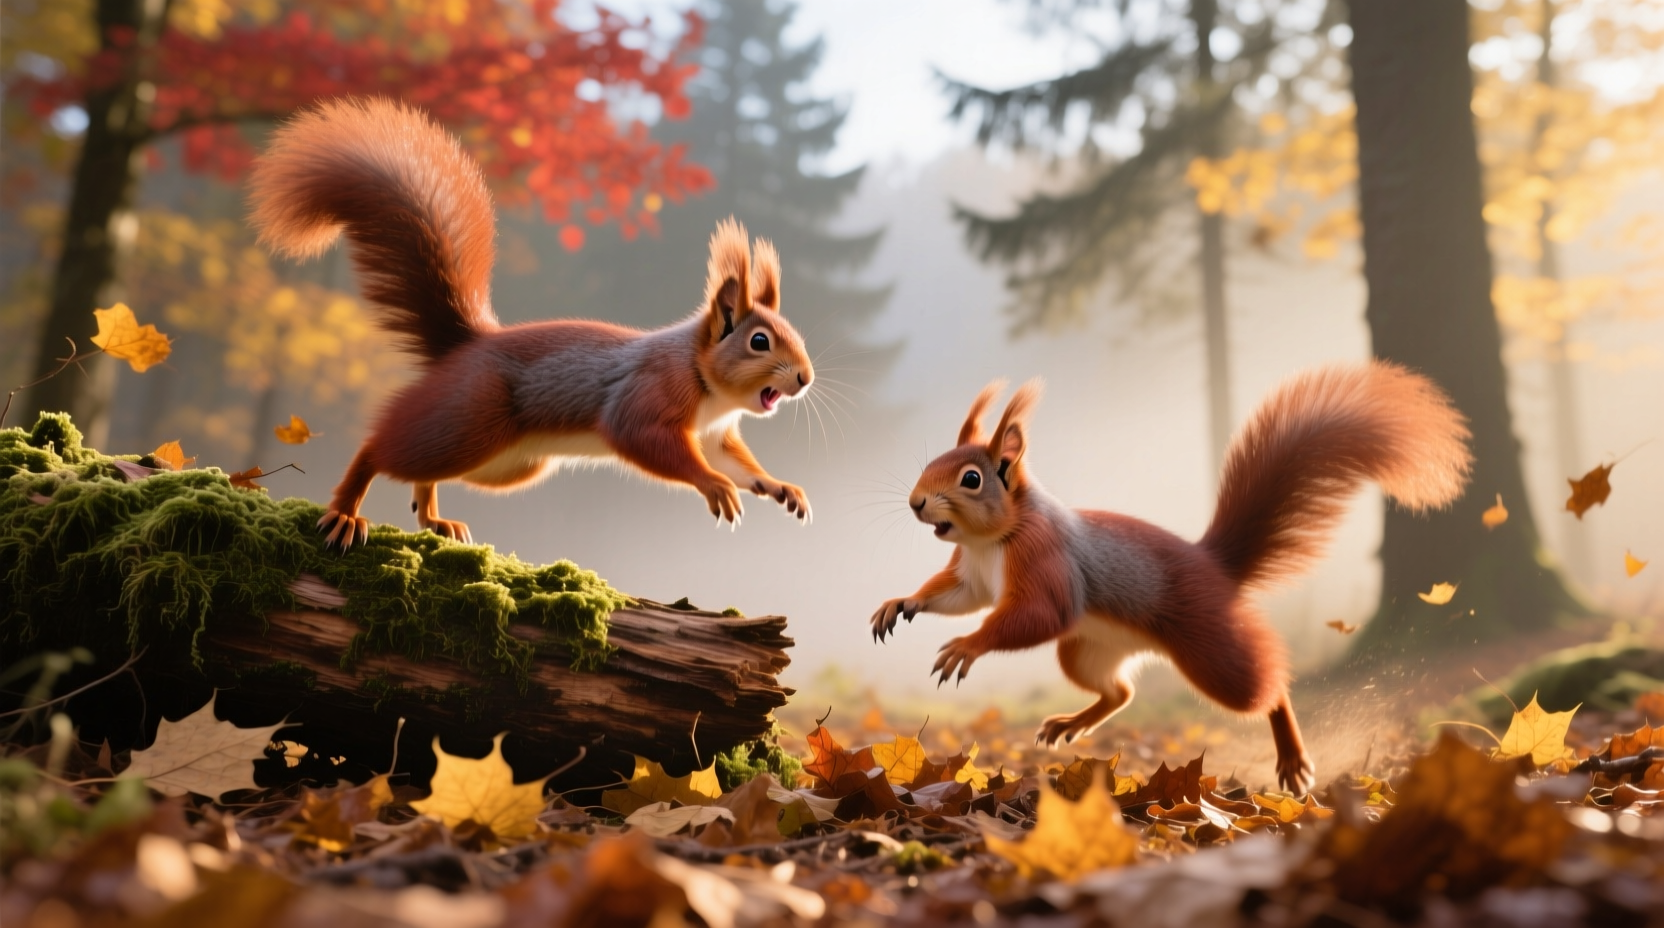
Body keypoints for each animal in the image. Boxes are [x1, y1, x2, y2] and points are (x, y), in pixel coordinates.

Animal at [247, 98, 814, 550]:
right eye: (759, 341)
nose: (805, 378)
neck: (703, 379)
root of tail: (465, 347)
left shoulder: (717, 433)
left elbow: (739, 462)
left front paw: (780, 487)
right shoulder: (647, 394)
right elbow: (644, 437)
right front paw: (713, 484)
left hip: (505, 463)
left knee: (426, 474)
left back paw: (434, 519)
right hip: (469, 419)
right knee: (380, 449)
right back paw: (346, 512)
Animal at [869, 361, 1472, 792]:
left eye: (971, 478)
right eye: (933, 462)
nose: (917, 502)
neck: (992, 541)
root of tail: (1215, 565)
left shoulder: (1045, 560)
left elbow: (1038, 613)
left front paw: (966, 646)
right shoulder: (970, 574)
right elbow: (956, 596)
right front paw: (900, 603)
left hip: (1212, 648)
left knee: (1267, 687)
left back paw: (1291, 756)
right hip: (1088, 649)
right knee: (1121, 691)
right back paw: (1071, 723)